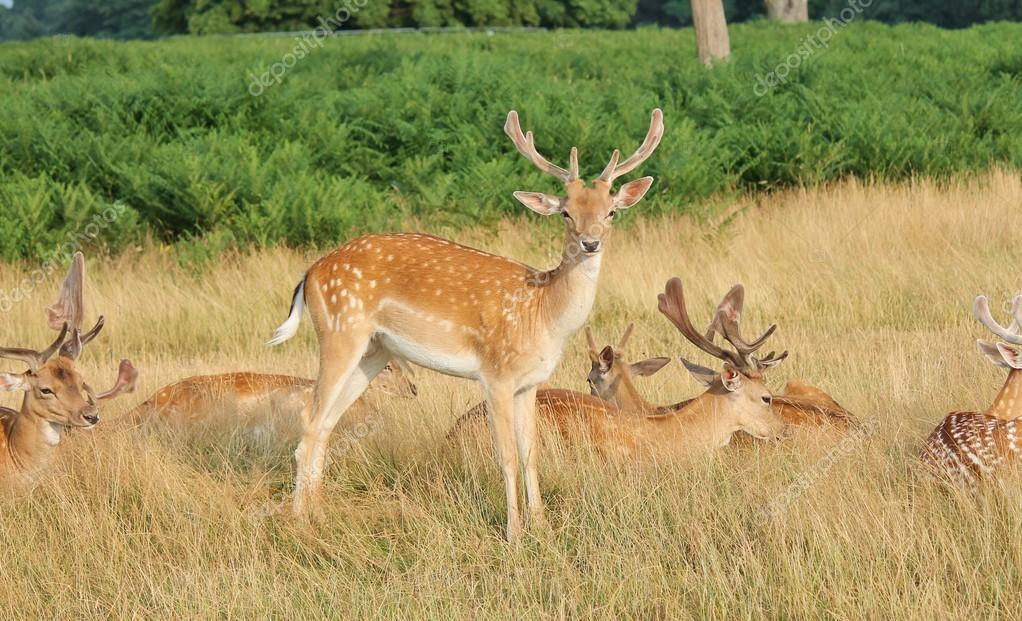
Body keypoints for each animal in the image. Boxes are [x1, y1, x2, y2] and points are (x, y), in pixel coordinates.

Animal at [266, 108, 663, 539]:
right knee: (310, 420)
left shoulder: (530, 383)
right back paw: (299, 521)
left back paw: (319, 516)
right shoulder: (495, 374)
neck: (542, 313)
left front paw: (541, 527)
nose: (590, 243)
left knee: (327, 423)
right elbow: (505, 455)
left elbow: (531, 453)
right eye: (566, 212)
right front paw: (514, 533)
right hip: (340, 331)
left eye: (611, 211)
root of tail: (309, 275)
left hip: (374, 351)